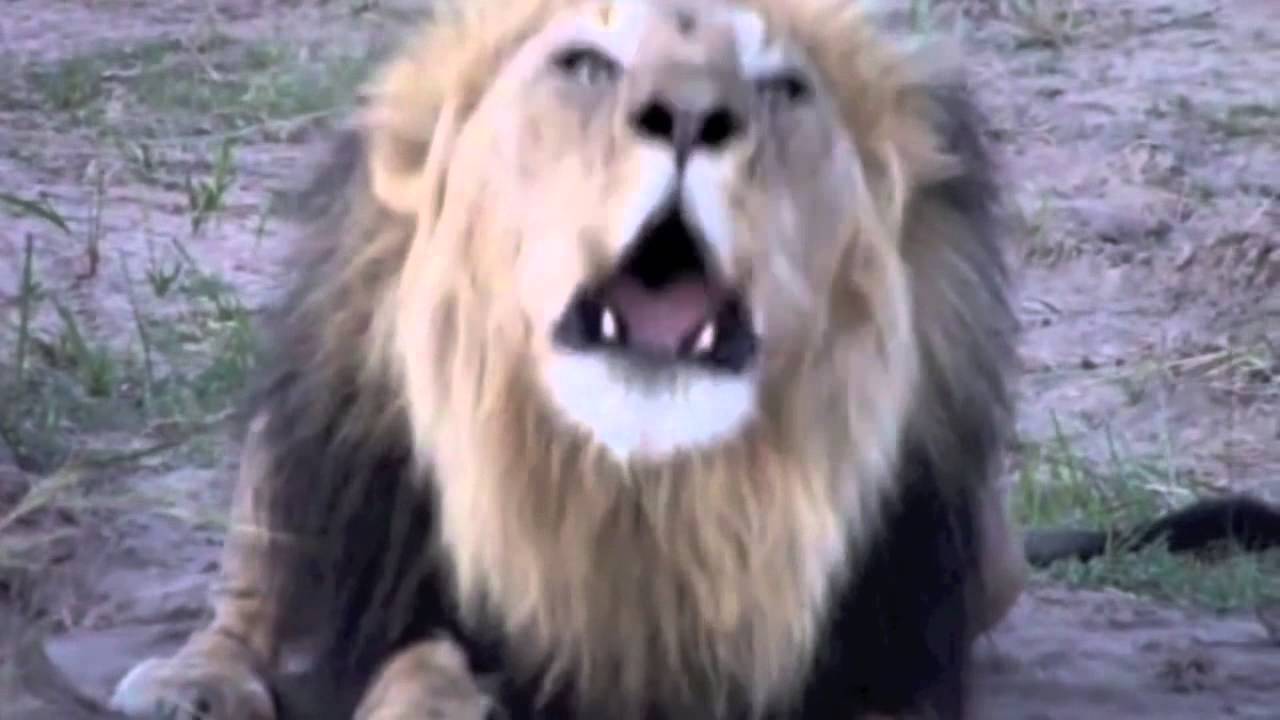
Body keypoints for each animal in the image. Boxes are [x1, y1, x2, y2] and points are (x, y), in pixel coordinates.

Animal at [106, 0, 1026, 718]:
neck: (642, 495)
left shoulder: (889, 645)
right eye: (587, 65)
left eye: (781, 87)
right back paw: (189, 685)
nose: (689, 112)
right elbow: (413, 664)